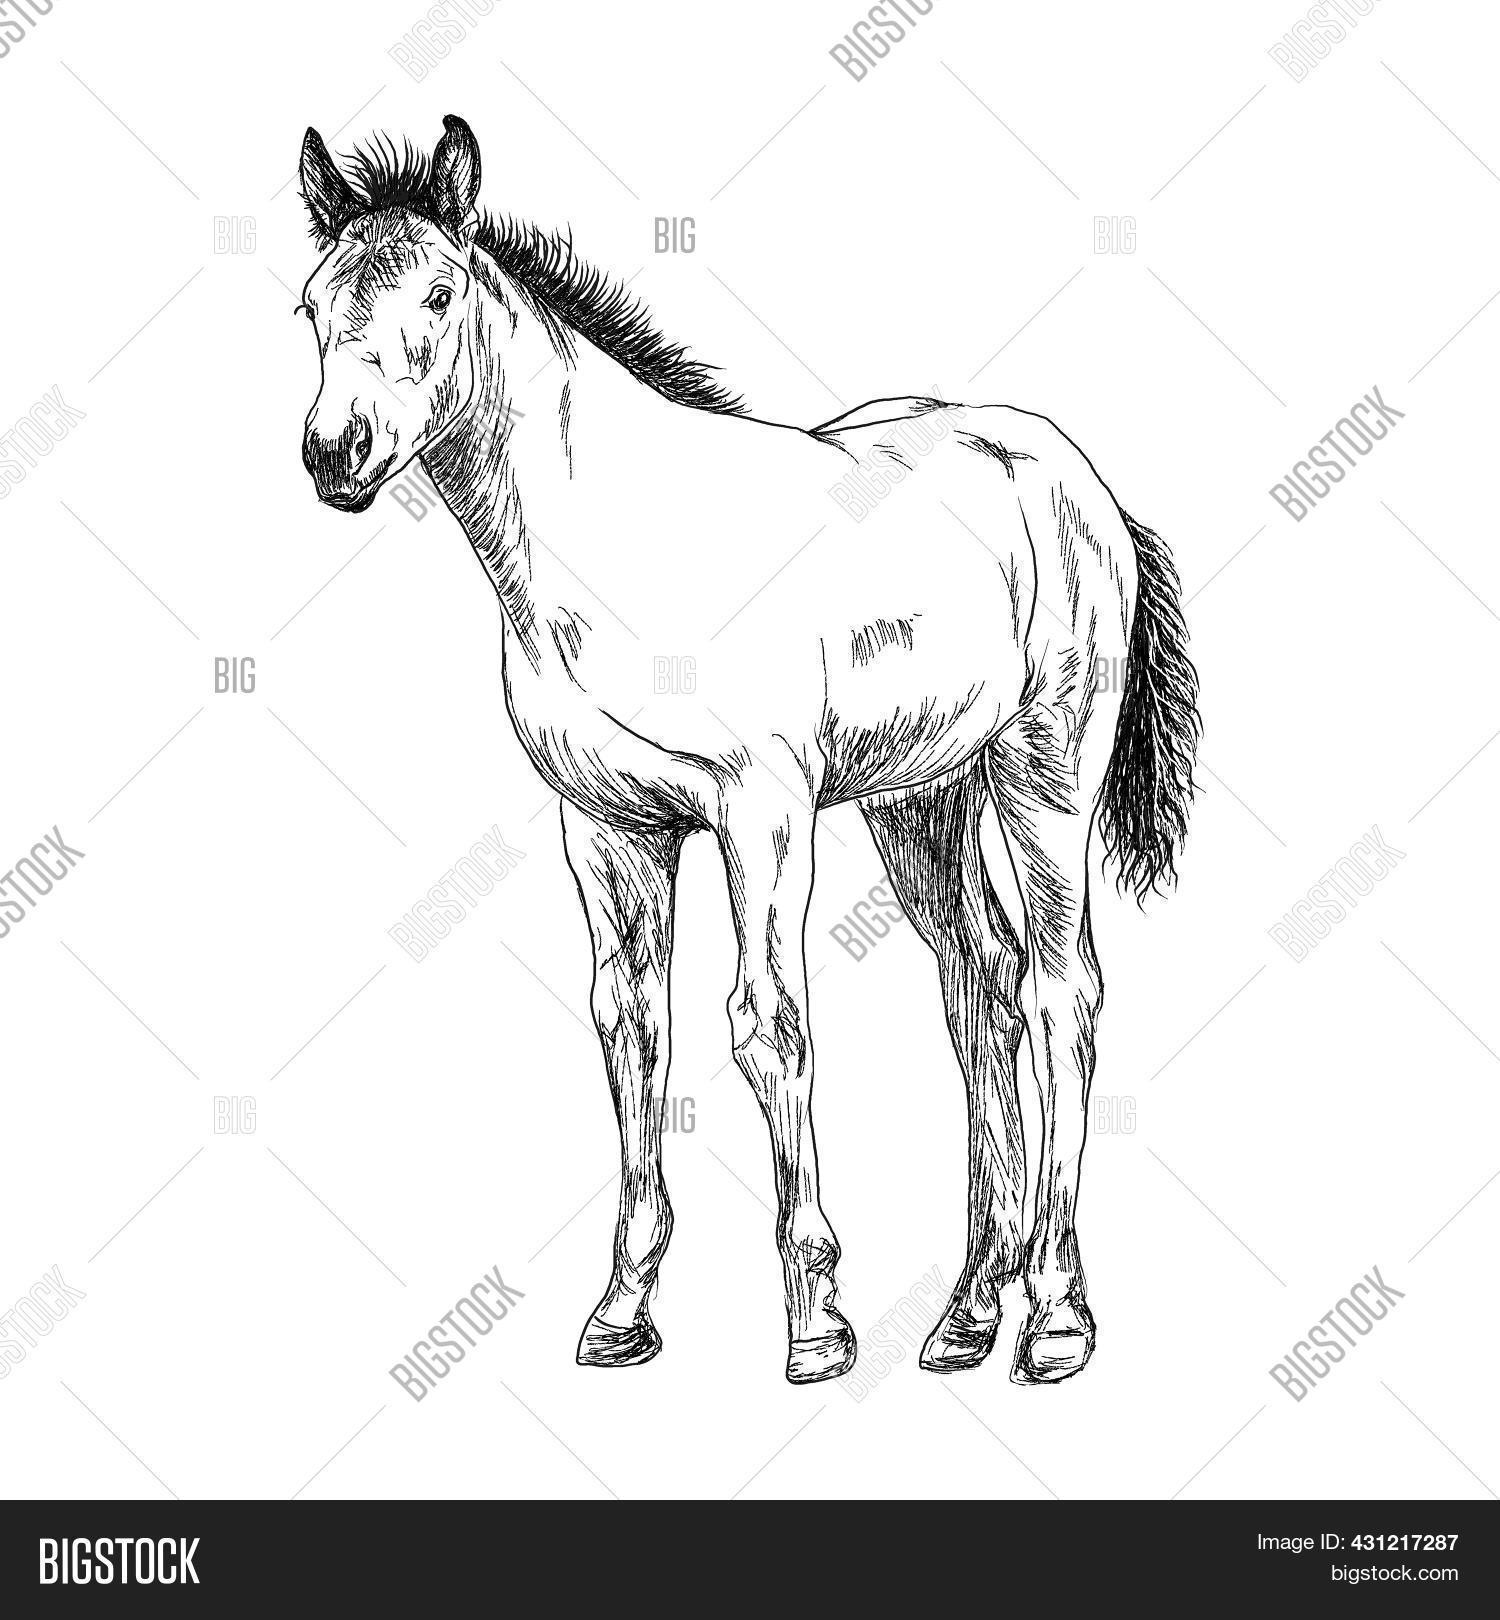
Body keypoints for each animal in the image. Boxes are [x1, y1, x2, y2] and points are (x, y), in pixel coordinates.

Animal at [295, 114, 1200, 1386]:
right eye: (310, 306)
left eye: (437, 292)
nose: (337, 453)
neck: (615, 542)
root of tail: (1084, 486)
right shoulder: (610, 828)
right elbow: (634, 1027)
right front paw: (621, 1313)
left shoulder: (758, 811)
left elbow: (768, 1024)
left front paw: (816, 1323)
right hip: (920, 800)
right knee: (982, 989)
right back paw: (970, 1311)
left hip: (1044, 774)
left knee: (1067, 993)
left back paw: (1057, 1318)